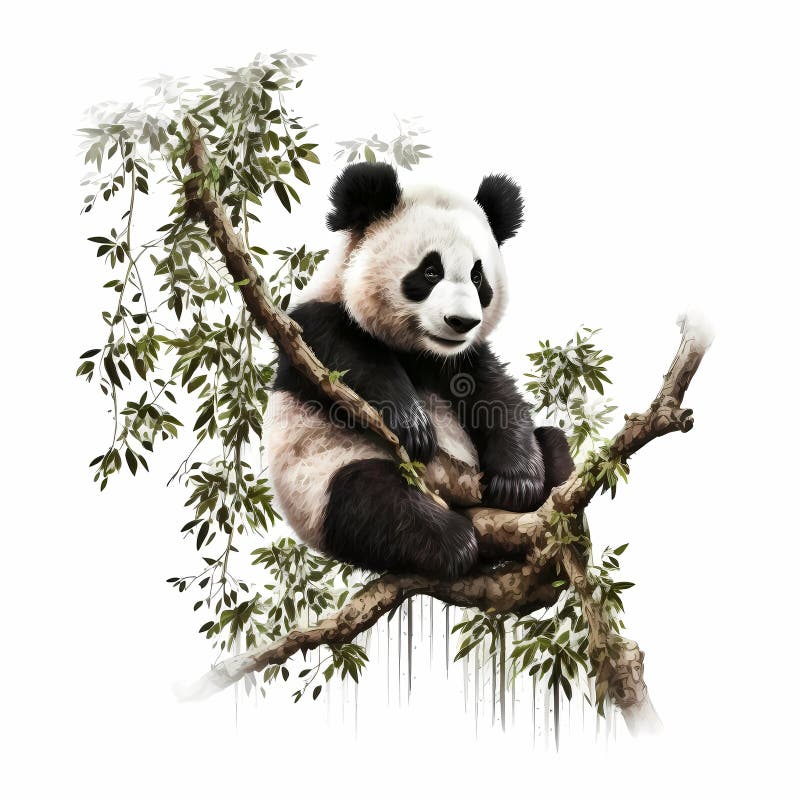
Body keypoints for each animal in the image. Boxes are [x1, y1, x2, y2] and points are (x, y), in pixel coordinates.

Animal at [265, 162, 574, 579]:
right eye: (430, 272)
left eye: (478, 277)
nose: (461, 322)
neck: (421, 351)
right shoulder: (311, 331)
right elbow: (354, 368)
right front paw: (413, 426)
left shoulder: (462, 358)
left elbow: (496, 397)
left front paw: (518, 481)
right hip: (317, 483)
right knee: (370, 498)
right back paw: (455, 541)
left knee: (554, 443)